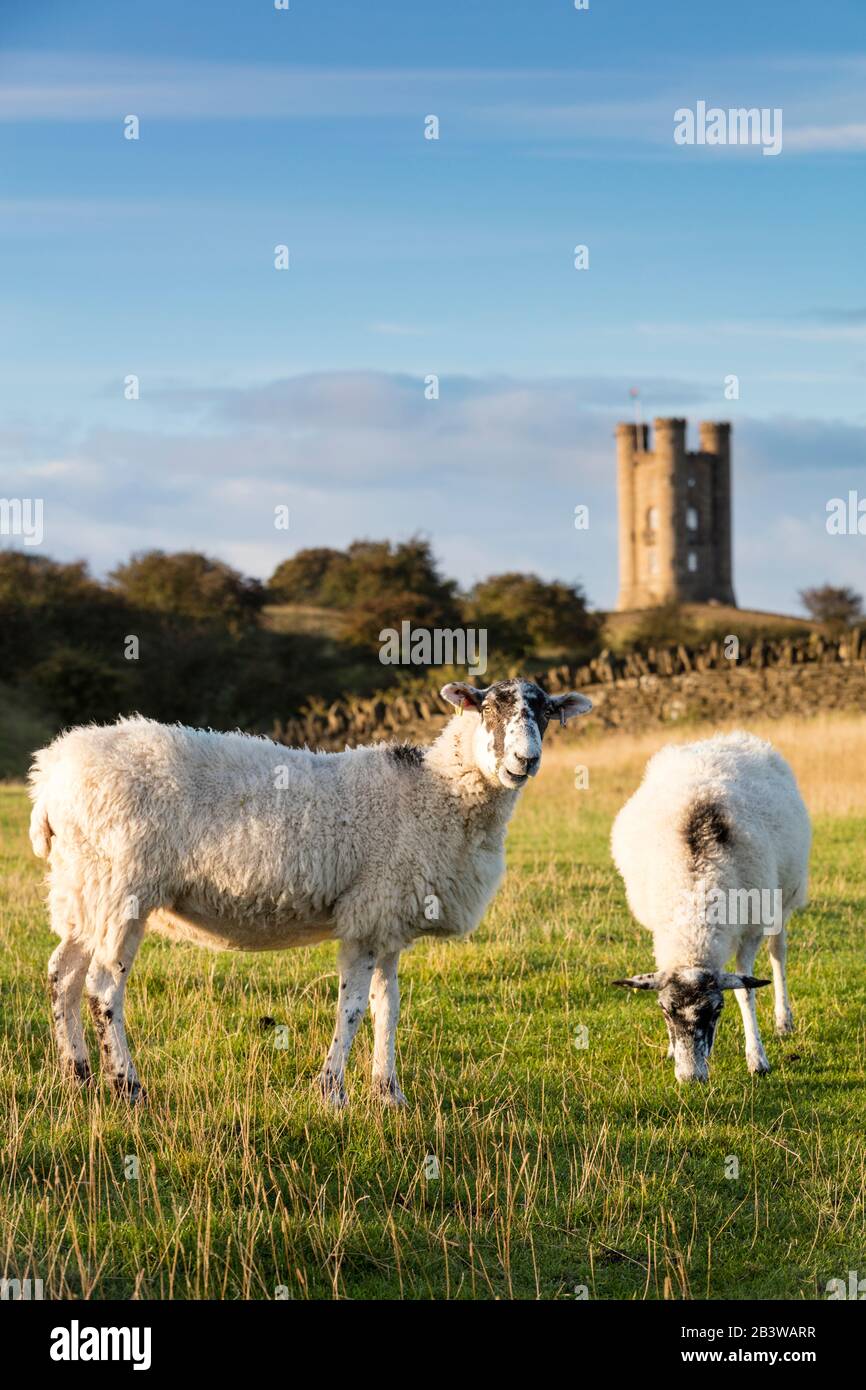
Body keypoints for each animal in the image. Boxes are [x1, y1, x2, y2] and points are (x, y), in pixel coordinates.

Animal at [29, 678, 591, 1107]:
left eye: (546, 713)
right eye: (490, 709)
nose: (524, 761)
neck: (436, 794)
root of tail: (50, 772)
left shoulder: (389, 921)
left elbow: (389, 1007)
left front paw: (390, 1096)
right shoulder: (367, 915)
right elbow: (353, 1007)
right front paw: (332, 1093)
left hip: (82, 887)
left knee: (63, 974)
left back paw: (77, 1077)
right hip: (121, 886)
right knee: (104, 986)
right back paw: (128, 1088)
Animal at [610, 731, 811, 1083]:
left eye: (717, 1009)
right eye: (664, 1010)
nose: (691, 1078)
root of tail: (727, 737)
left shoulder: (751, 930)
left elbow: (745, 990)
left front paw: (757, 1058)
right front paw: (671, 1049)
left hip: (783, 899)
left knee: (779, 954)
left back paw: (784, 1020)